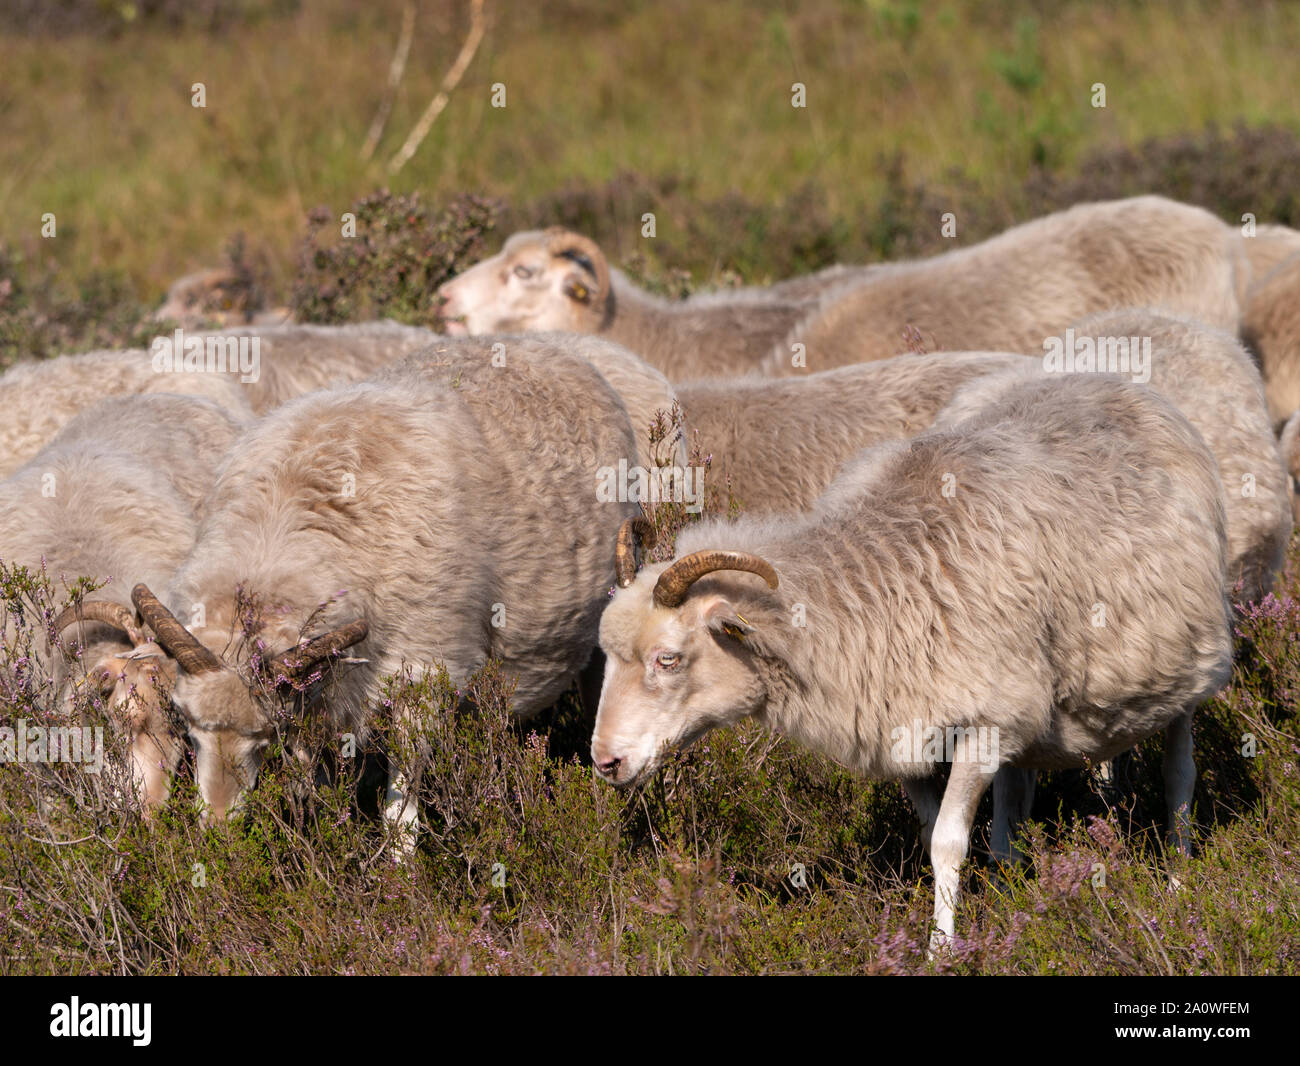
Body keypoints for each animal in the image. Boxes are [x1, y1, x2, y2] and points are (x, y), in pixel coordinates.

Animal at [76, 336, 640, 838]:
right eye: (190, 730)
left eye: (264, 736)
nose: (215, 827)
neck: (285, 535)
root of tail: (542, 345)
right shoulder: (324, 698)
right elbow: (320, 794)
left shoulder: (423, 680)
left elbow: (400, 813)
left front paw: (401, 875)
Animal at [592, 372, 1233, 944]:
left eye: (668, 660)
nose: (604, 763)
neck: (872, 592)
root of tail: (1107, 378)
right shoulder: (901, 727)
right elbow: (931, 834)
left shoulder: (985, 722)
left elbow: (949, 840)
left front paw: (941, 946)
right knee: (1016, 793)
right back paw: (1013, 881)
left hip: (1187, 669)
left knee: (1178, 773)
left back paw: (1178, 879)